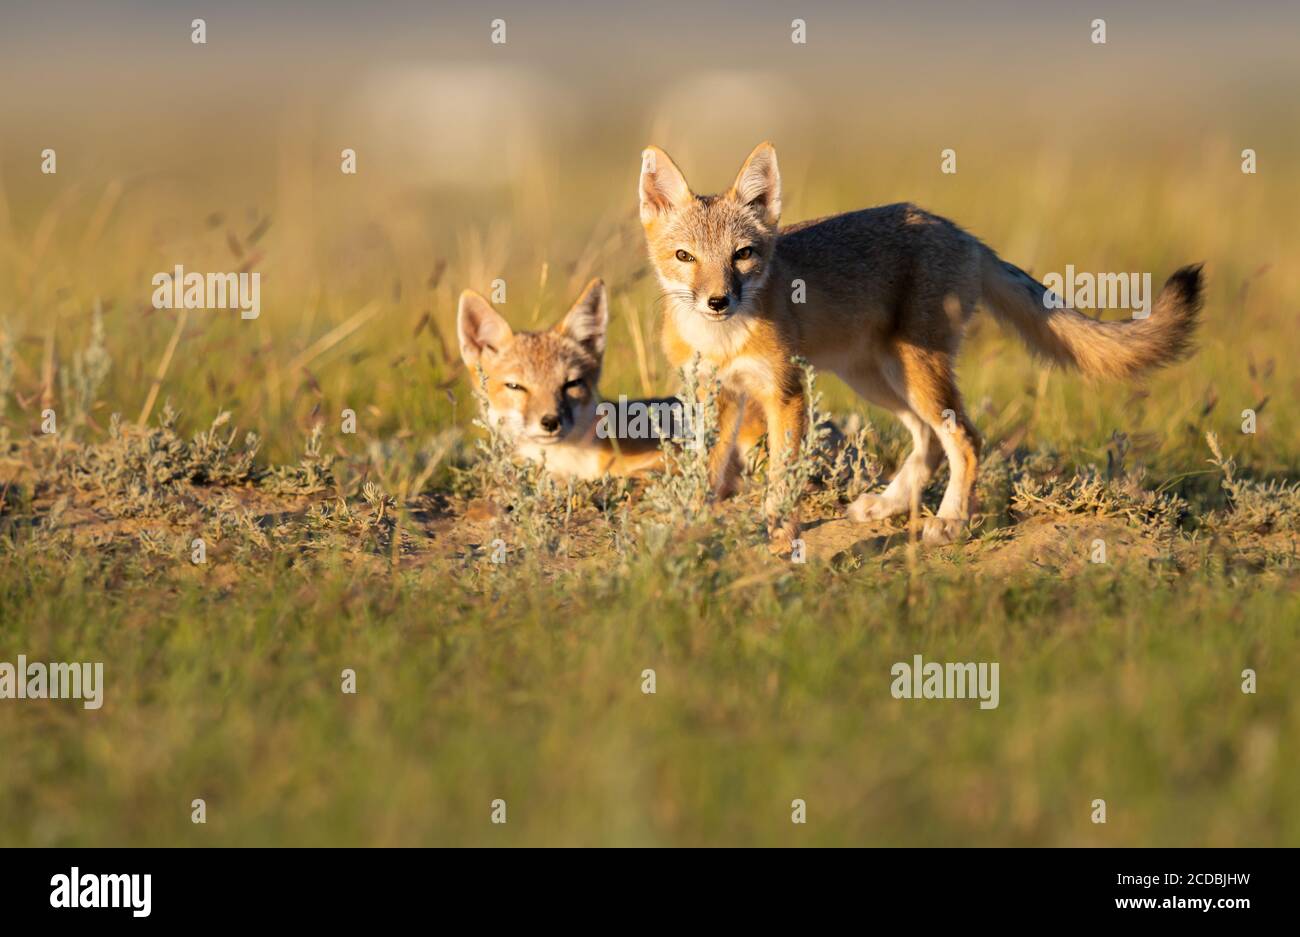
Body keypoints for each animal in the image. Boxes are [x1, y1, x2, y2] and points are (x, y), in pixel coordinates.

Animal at [638, 141, 1204, 552]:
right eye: (685, 256)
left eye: (743, 255)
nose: (718, 300)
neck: (722, 341)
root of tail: (959, 231)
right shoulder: (716, 395)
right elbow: (707, 471)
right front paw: (689, 528)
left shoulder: (787, 392)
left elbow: (782, 475)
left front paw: (782, 533)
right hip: (878, 378)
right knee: (929, 441)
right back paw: (887, 506)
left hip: (913, 372)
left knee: (966, 438)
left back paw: (950, 522)